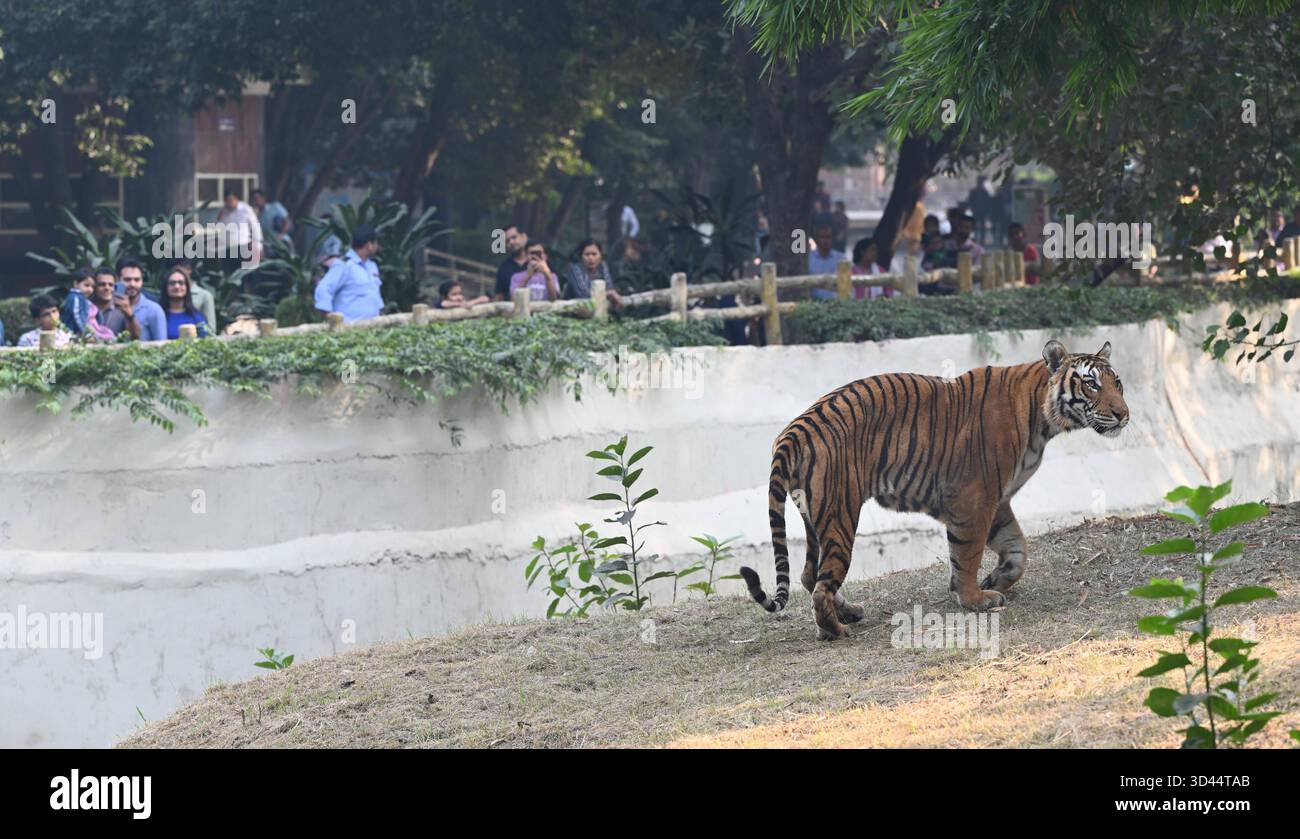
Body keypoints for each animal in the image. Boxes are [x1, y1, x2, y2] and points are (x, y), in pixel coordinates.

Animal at [738, 339, 1129, 641]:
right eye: (1092, 385)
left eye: (1118, 383)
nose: (1123, 415)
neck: (1042, 417)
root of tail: (793, 431)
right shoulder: (974, 498)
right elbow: (967, 554)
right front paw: (974, 598)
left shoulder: (998, 500)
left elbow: (1017, 550)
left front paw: (995, 579)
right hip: (840, 514)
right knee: (820, 585)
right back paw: (834, 629)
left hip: (813, 518)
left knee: (809, 575)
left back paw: (848, 612)